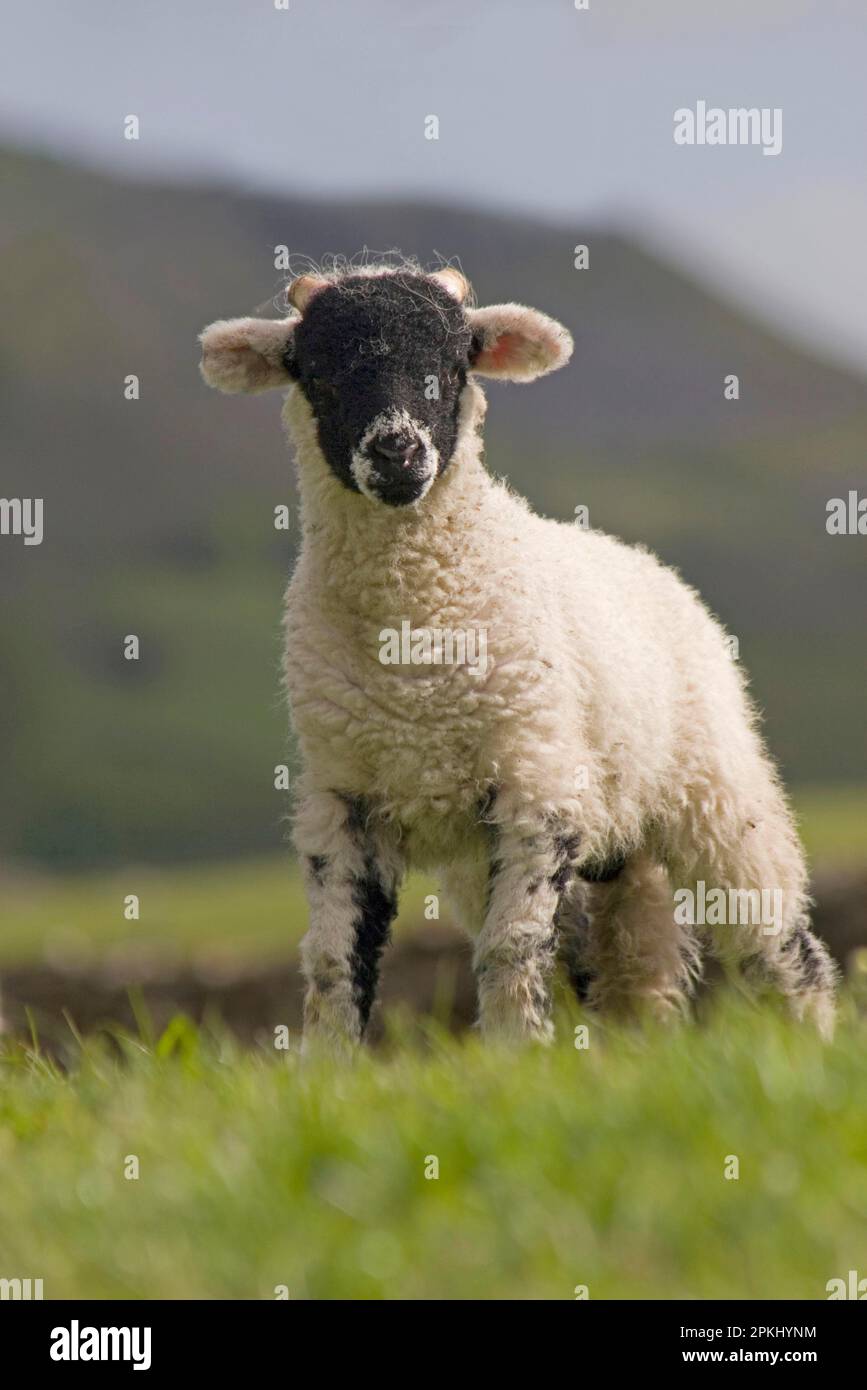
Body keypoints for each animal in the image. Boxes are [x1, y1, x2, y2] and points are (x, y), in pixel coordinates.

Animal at [199, 259, 838, 1048]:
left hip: (716, 792)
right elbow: (334, 964)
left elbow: (512, 950)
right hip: (594, 846)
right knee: (629, 968)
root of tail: (646, 561)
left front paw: (513, 1058)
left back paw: (810, 1040)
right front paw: (328, 1070)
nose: (396, 453)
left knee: (775, 940)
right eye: (316, 372)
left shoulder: (537, 787)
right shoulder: (342, 803)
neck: (412, 650)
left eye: (453, 365)